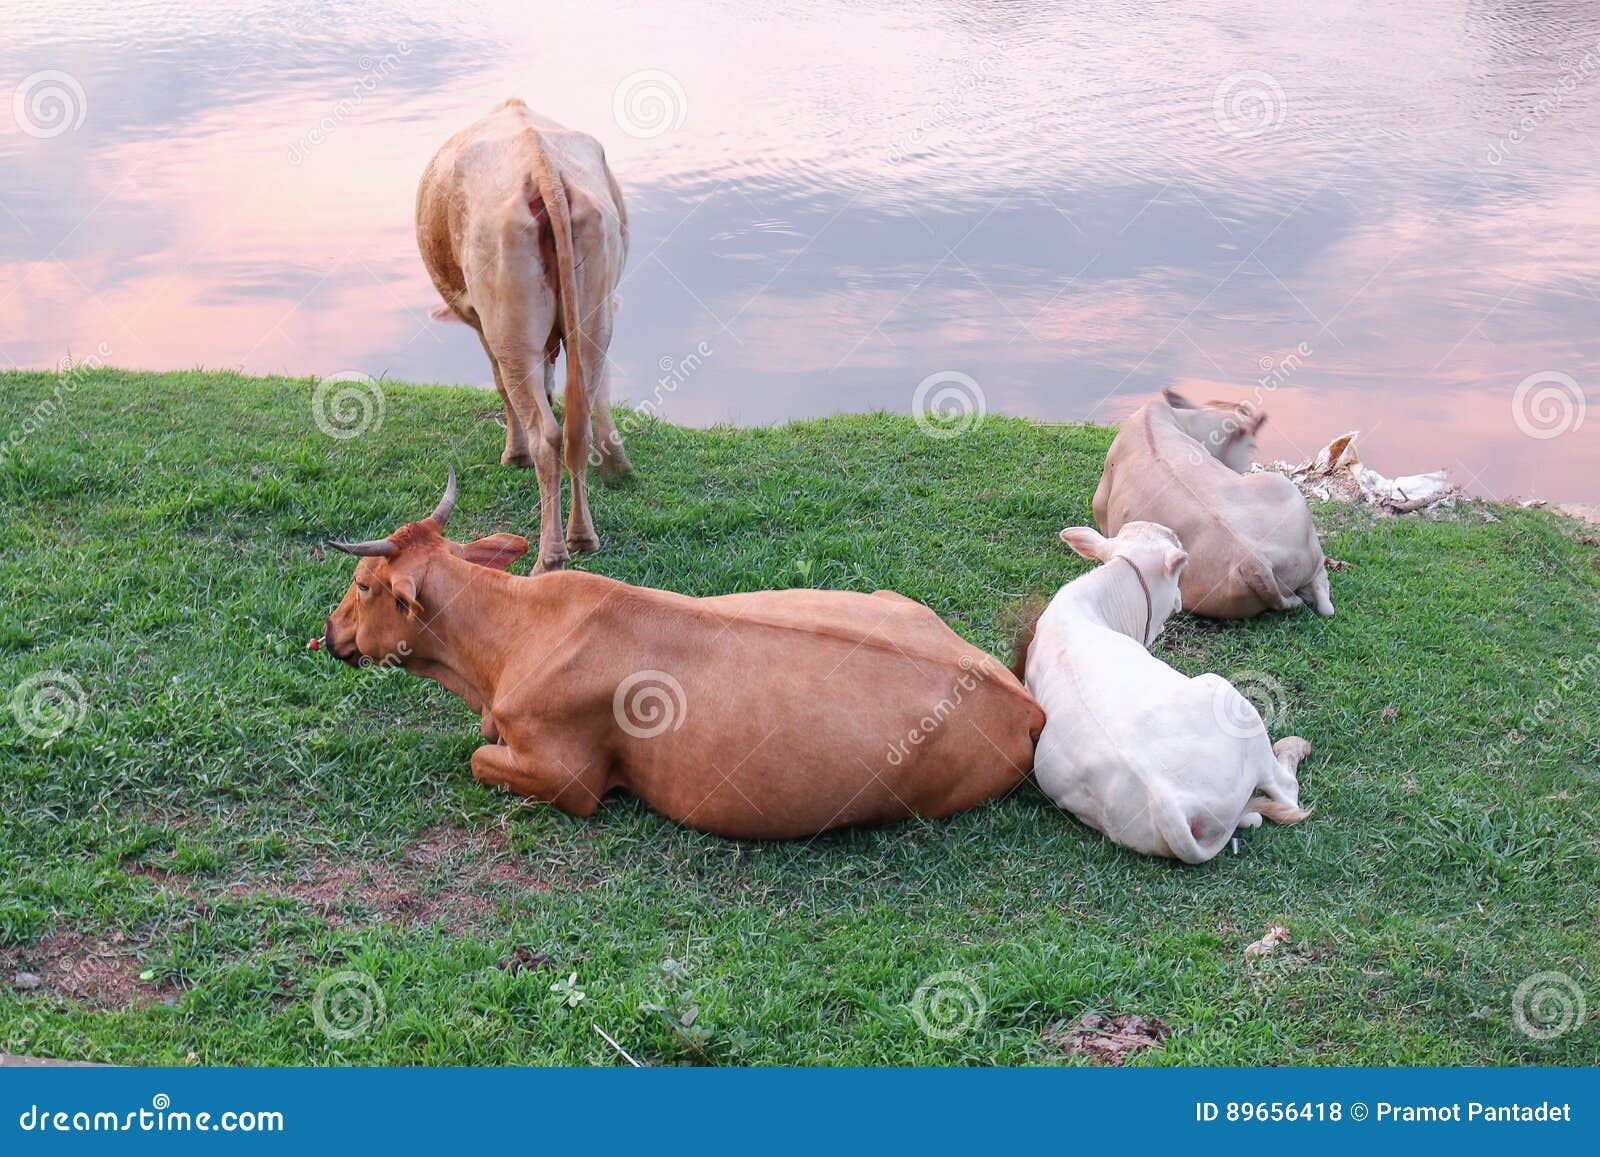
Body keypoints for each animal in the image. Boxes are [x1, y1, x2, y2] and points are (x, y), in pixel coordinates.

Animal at [321, 472, 1045, 840]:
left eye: (363, 586)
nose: (328, 630)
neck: (508, 641)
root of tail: (1022, 699)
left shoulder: (569, 777)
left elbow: (477, 759)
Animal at [417, 99, 631, 574]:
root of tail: (542, 164)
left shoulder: (481, 322)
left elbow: (500, 385)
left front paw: (511, 454)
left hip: (509, 328)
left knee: (546, 434)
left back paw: (550, 556)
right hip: (593, 313)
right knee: (577, 422)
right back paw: (584, 534)